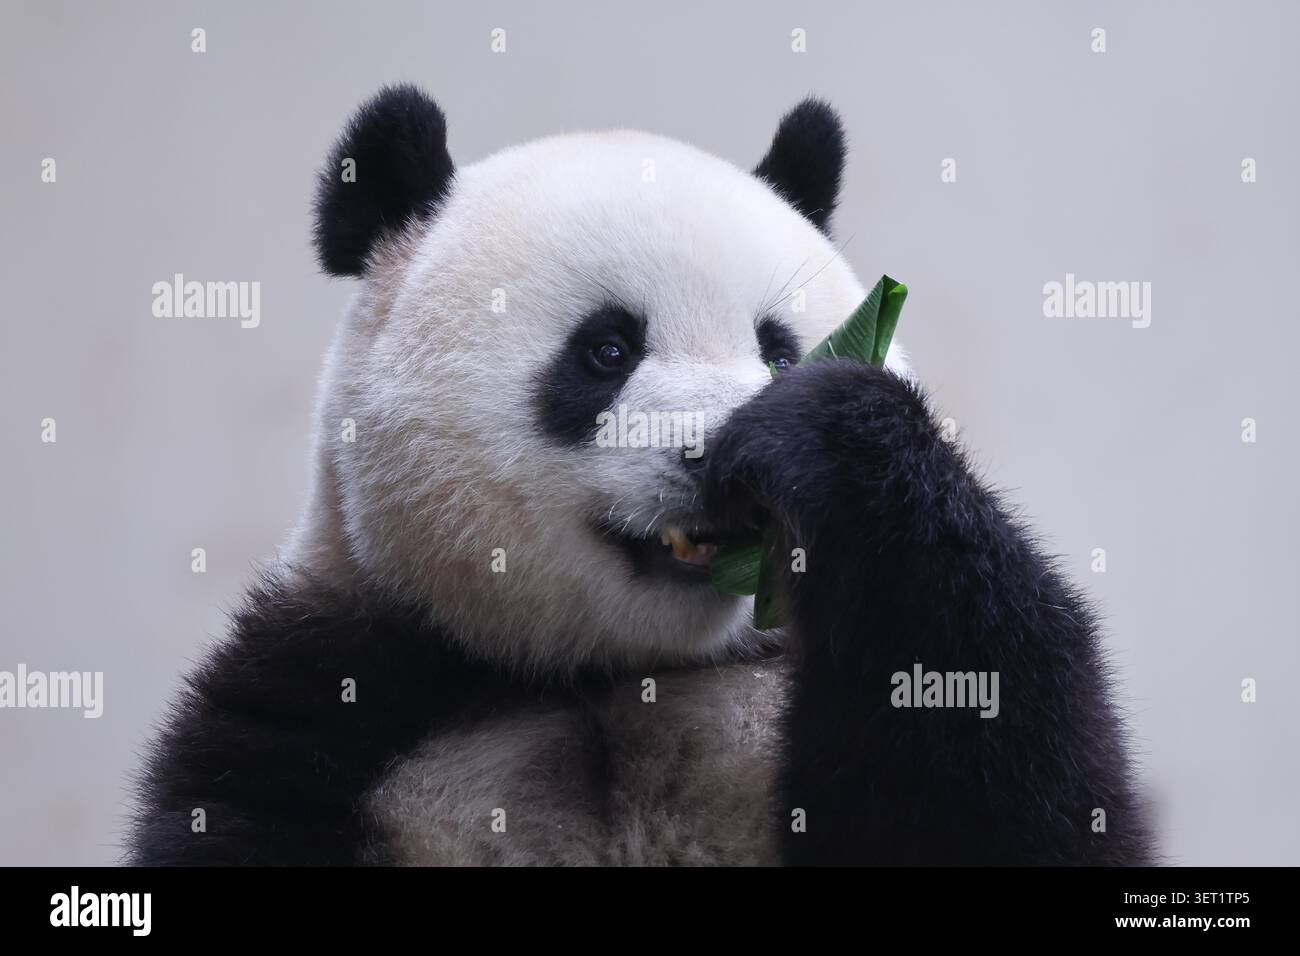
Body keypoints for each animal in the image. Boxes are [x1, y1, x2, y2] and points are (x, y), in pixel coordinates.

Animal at [129, 85, 1153, 866]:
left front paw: (825, 432)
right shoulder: (328, 701)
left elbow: (1005, 796)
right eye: (607, 350)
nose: (718, 458)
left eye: (777, 350)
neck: (622, 672)